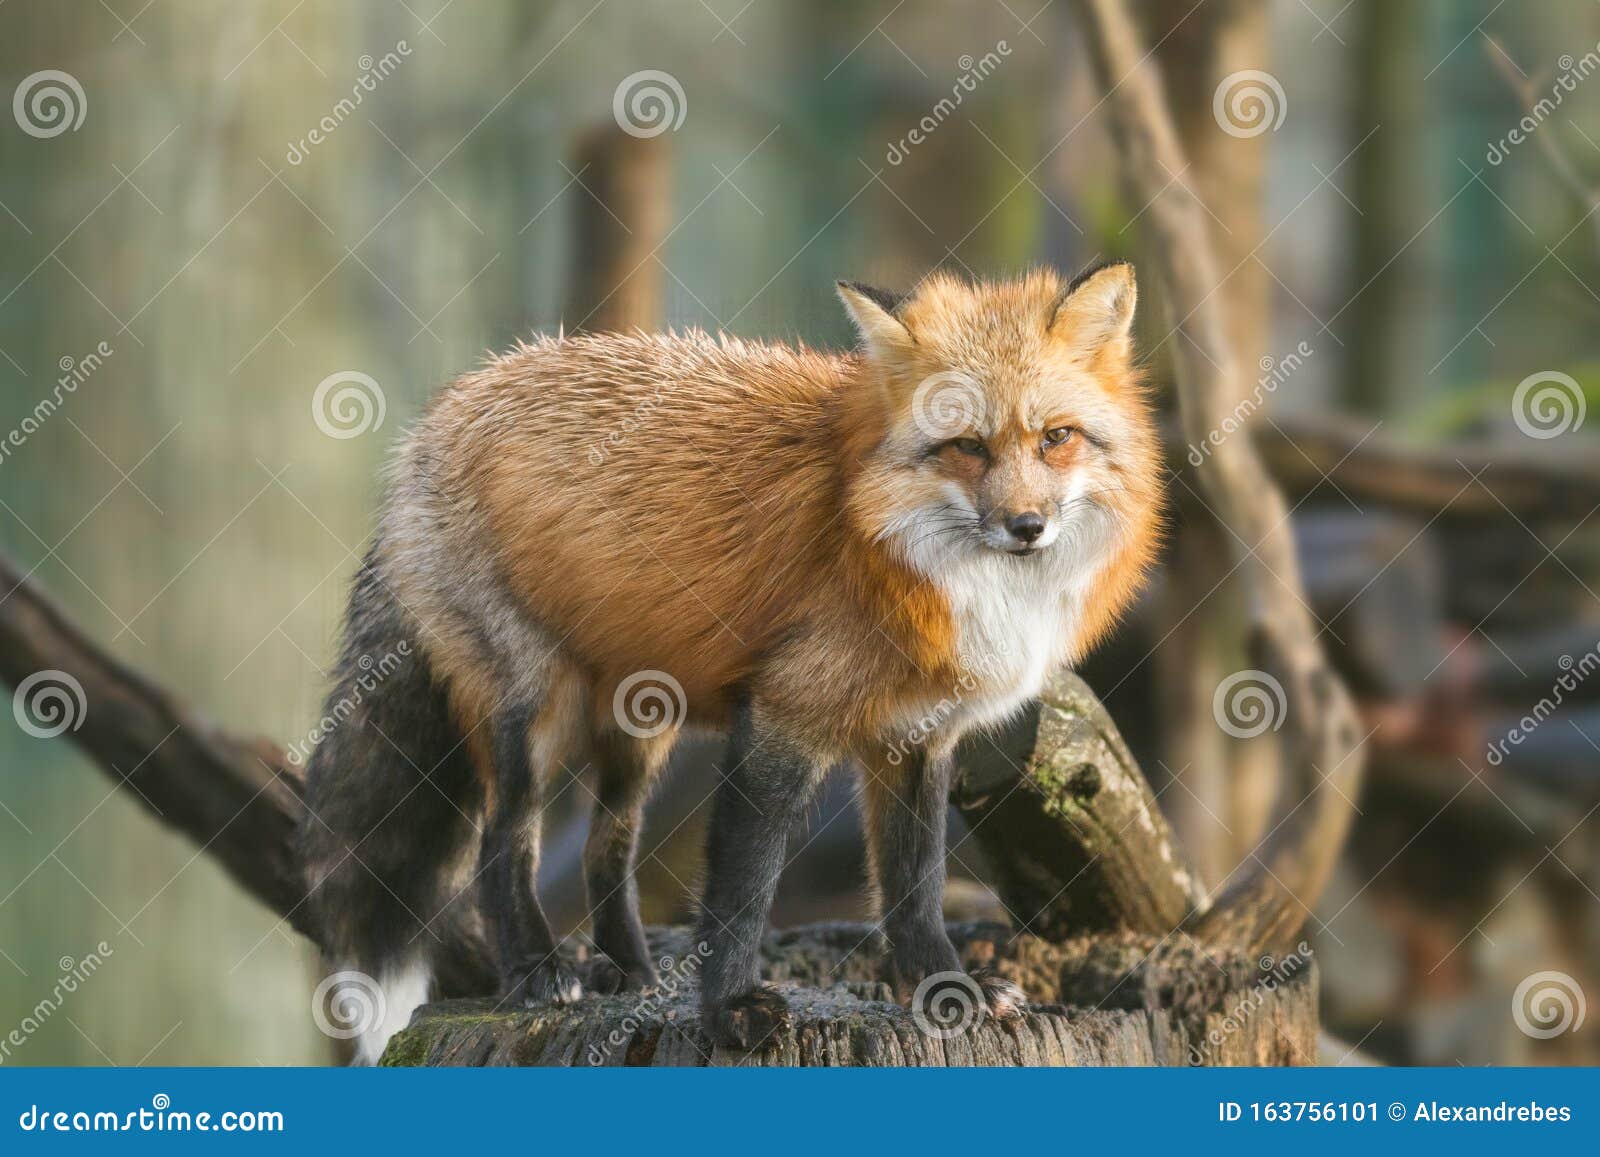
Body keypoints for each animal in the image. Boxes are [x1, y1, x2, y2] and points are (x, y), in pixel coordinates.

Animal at [297, 263, 1162, 1062]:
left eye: (1056, 437)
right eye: (967, 447)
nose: (1027, 526)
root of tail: (437, 415)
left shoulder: (916, 738)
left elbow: (914, 886)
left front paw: (943, 986)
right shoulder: (785, 714)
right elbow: (744, 885)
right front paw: (731, 1009)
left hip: (640, 728)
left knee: (609, 847)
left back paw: (631, 969)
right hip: (533, 714)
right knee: (499, 845)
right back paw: (539, 970)